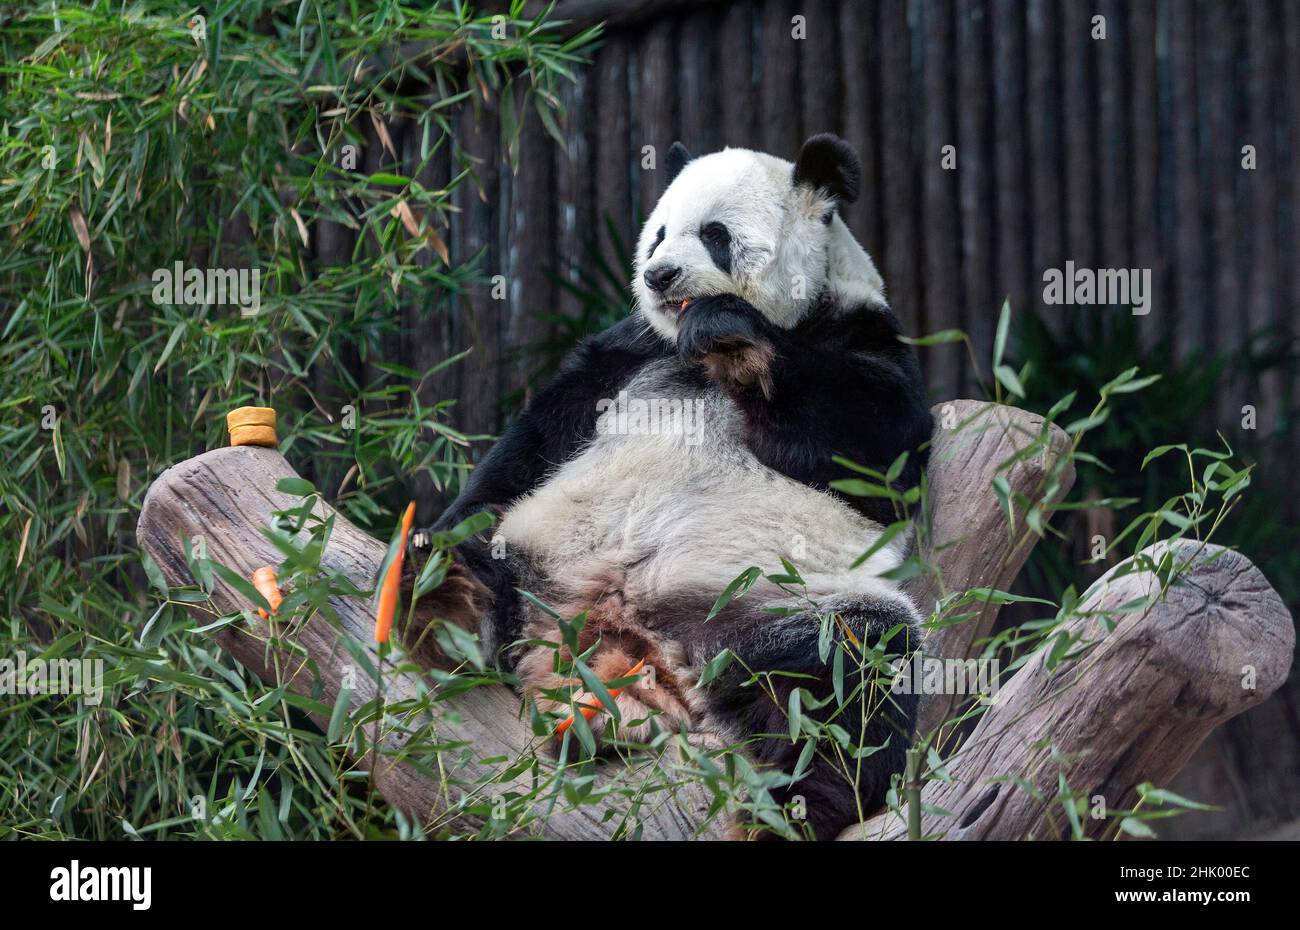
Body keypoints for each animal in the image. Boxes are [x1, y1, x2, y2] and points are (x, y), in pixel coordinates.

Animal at [408, 134, 933, 840]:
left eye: (714, 234)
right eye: (657, 234)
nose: (659, 275)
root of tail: (622, 630)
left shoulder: (863, 334)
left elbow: (880, 451)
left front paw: (731, 333)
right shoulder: (628, 351)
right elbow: (541, 433)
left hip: (772, 601)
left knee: (853, 674)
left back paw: (798, 805)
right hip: (541, 548)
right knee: (486, 553)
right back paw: (442, 593)